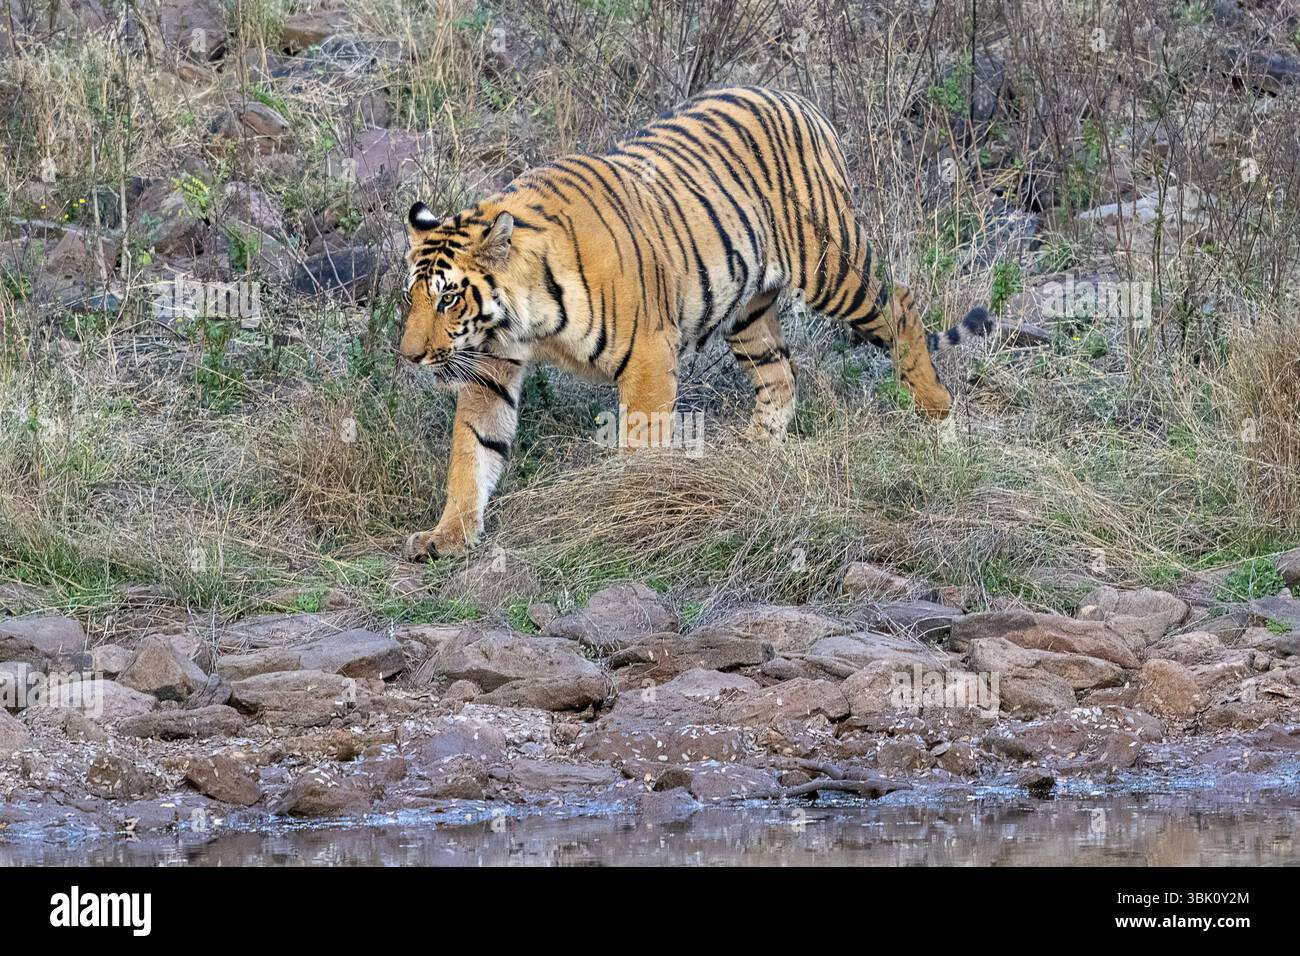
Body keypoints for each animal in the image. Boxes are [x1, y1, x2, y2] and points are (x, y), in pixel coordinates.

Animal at [397, 85, 993, 560]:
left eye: (448, 299)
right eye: (412, 297)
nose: (409, 357)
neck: (521, 318)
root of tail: (794, 98)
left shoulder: (646, 355)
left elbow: (639, 445)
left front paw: (626, 513)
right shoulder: (490, 367)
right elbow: (471, 452)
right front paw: (446, 537)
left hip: (831, 268)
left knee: (901, 307)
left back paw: (939, 421)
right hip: (747, 310)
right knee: (781, 375)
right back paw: (750, 457)